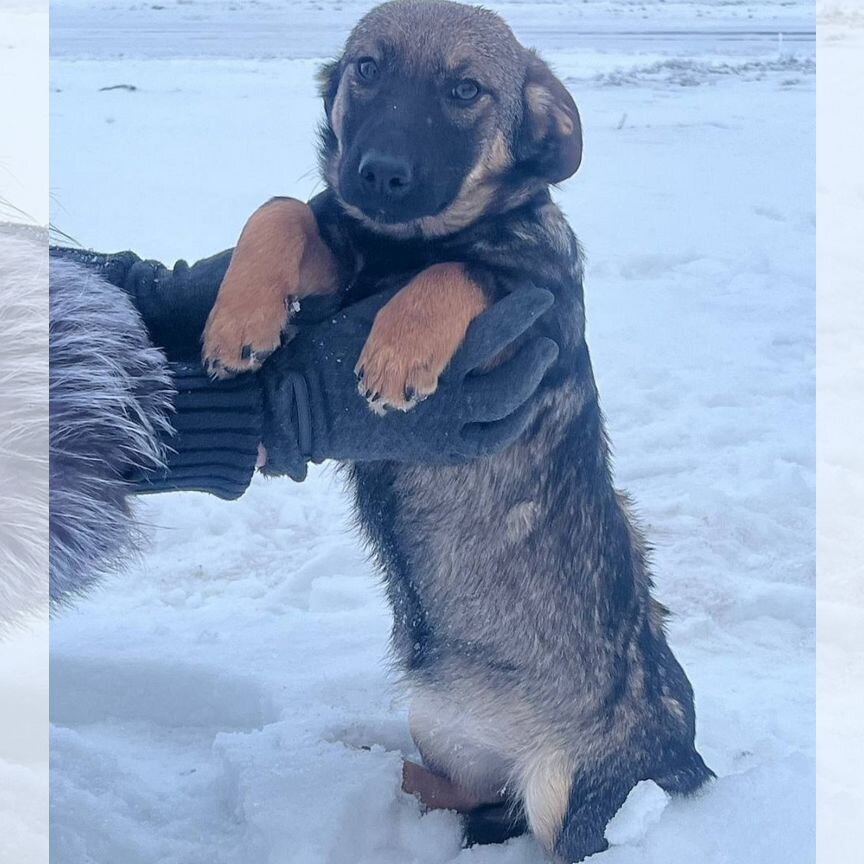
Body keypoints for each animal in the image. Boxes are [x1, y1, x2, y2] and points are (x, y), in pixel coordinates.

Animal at [199, 3, 712, 860]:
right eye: (367, 67)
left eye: (467, 89)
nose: (378, 174)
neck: (398, 245)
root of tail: (690, 762)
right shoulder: (341, 252)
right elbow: (285, 209)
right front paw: (238, 317)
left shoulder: (536, 315)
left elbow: (463, 270)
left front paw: (400, 351)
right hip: (437, 722)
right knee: (465, 793)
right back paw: (365, 763)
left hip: (565, 789)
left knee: (523, 820)